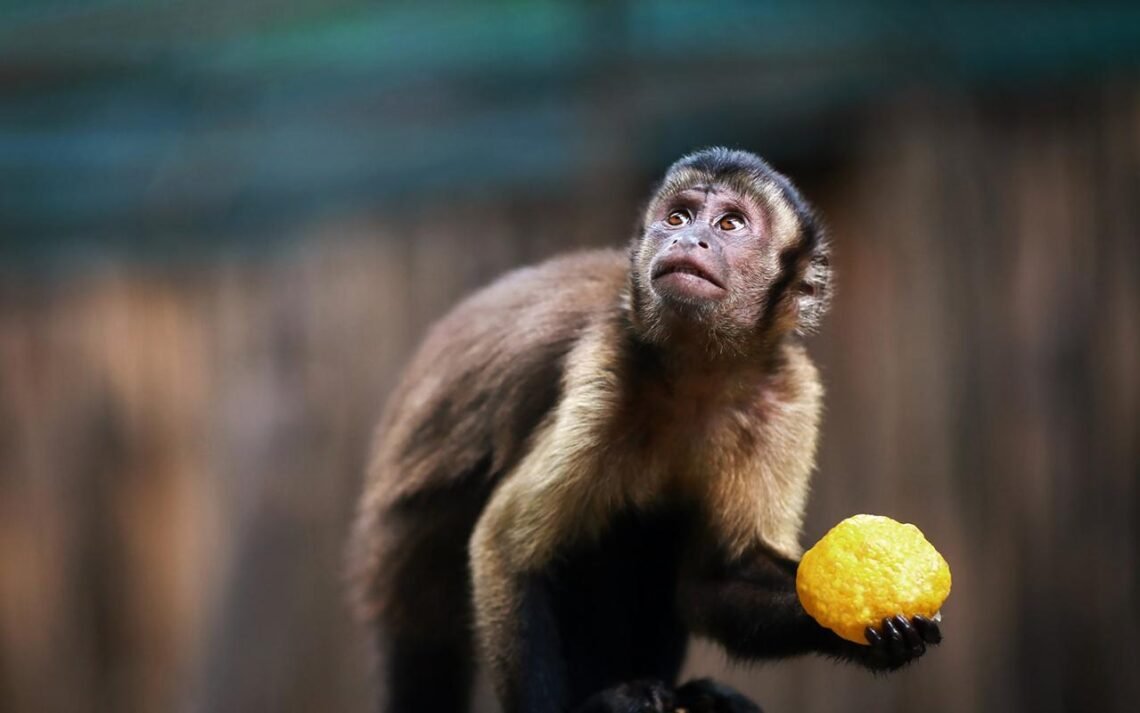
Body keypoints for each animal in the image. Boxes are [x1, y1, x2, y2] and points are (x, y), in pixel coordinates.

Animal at [348, 147, 942, 713]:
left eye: (730, 224)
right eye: (677, 216)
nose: (690, 238)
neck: (699, 374)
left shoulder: (790, 393)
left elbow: (715, 582)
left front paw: (883, 637)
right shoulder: (607, 367)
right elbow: (507, 551)